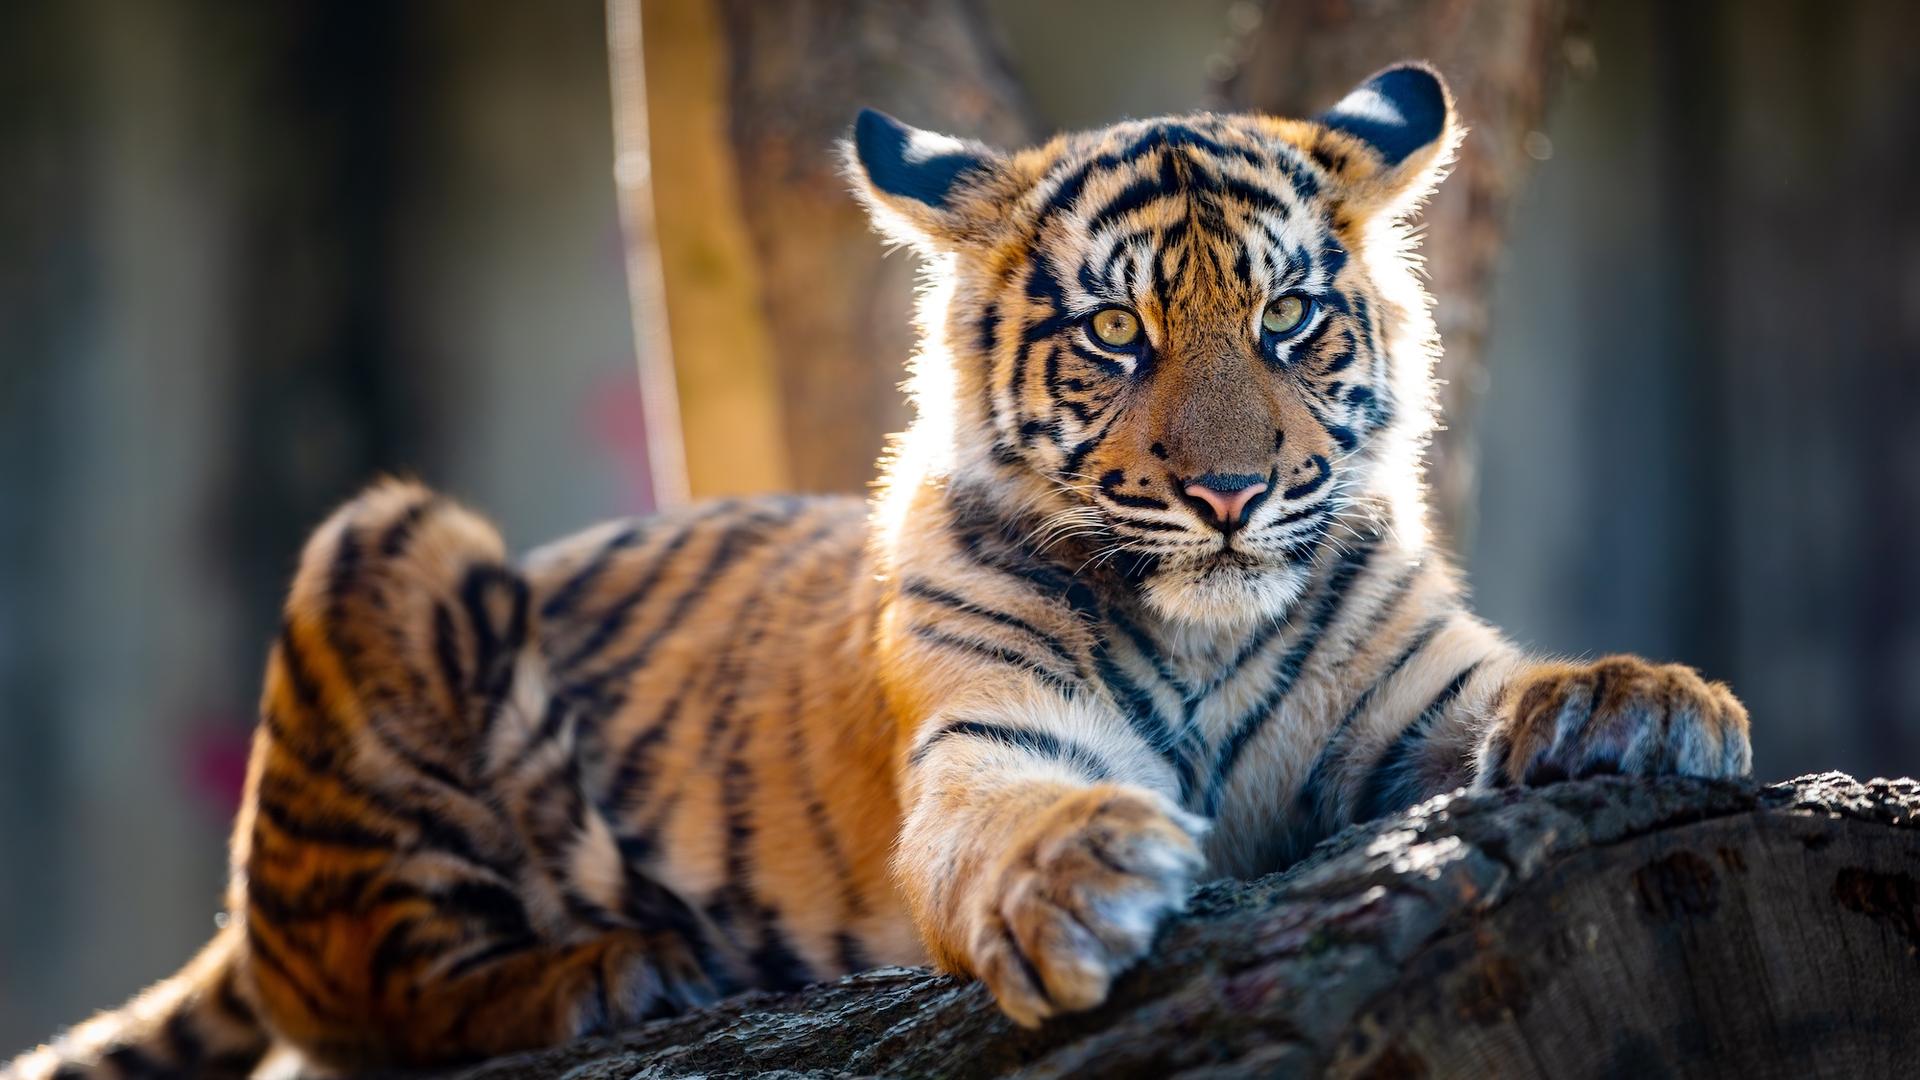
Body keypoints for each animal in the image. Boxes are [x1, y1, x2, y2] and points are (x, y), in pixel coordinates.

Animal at [6, 62, 1751, 1078]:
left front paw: (1650, 702)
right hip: (393, 546)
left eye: (1287, 320)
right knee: (363, 999)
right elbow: (1016, 822)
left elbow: (1518, 692)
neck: (1209, 623)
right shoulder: (990, 744)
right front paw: (1079, 876)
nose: (1232, 491)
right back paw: (612, 978)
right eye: (1114, 334)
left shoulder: (1413, 700)